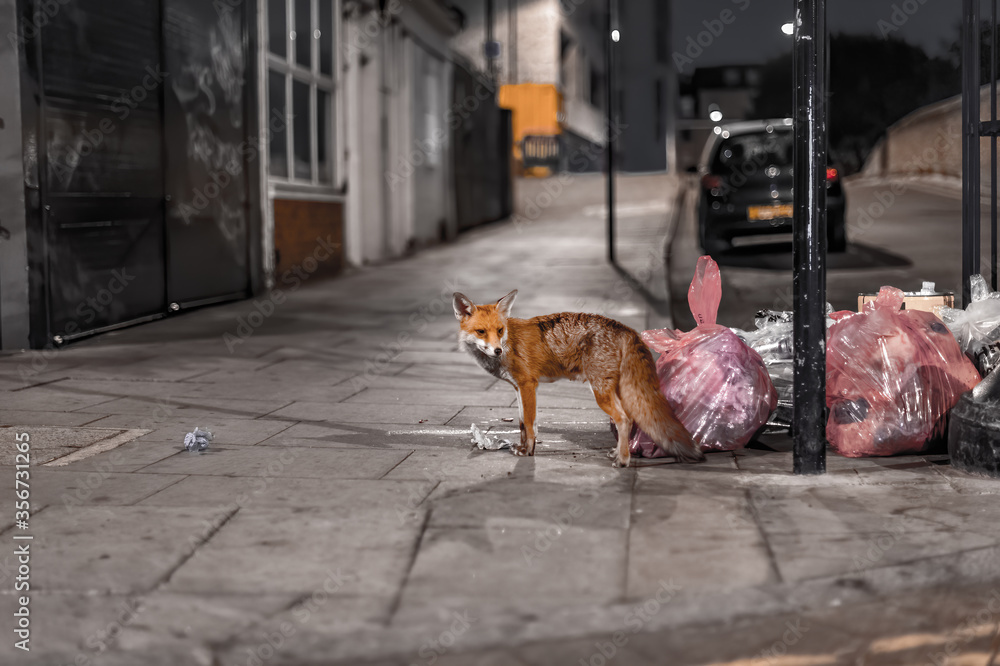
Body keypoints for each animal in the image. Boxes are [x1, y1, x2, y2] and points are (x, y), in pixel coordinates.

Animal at [452, 290, 704, 467]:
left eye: (499, 330)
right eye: (481, 332)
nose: (497, 350)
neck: (509, 341)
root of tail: (626, 328)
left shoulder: (528, 385)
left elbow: (529, 426)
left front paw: (528, 452)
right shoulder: (519, 389)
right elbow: (524, 424)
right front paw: (524, 448)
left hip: (600, 392)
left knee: (624, 419)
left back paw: (623, 461)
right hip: (616, 390)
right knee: (631, 418)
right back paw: (621, 452)